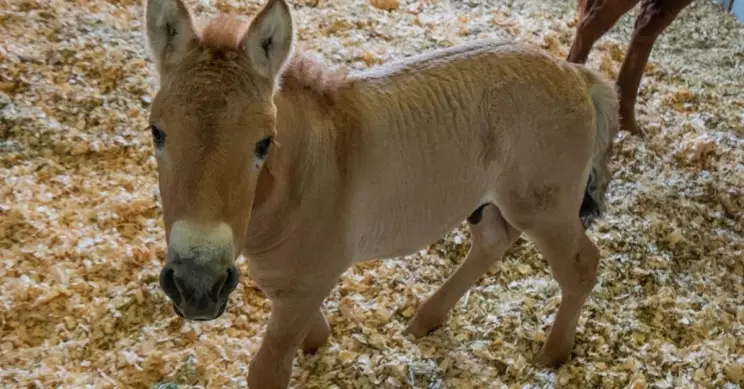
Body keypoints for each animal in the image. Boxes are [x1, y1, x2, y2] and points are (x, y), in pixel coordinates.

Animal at [142, 0, 620, 384]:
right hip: (490, 201)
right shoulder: (285, 278)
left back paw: (553, 353)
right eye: (156, 132)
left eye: (263, 143)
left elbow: (268, 370)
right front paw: (319, 343)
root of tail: (576, 73)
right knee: (492, 241)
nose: (196, 285)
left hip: (544, 208)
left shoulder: (307, 283)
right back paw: (426, 319)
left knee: (580, 265)